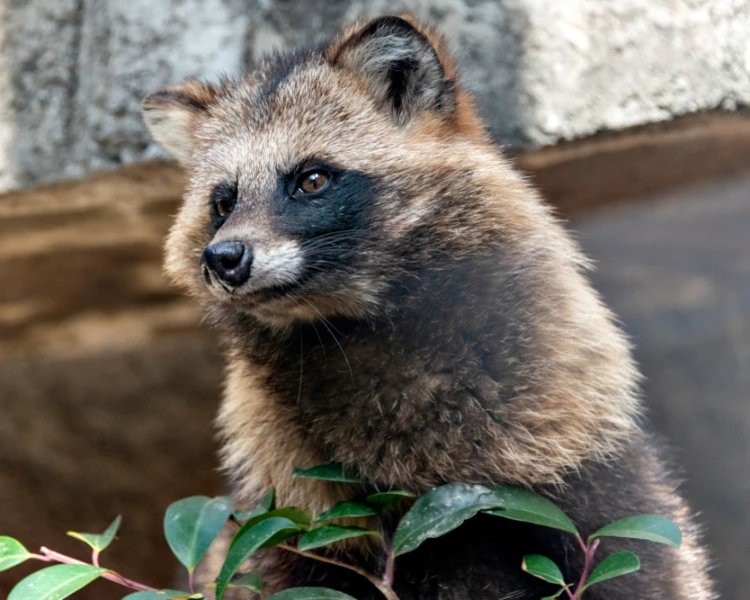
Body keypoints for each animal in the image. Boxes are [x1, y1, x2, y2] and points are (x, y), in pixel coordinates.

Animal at [142, 14, 715, 600]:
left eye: (312, 179)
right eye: (223, 202)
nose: (223, 258)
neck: (345, 331)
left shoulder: (591, 466)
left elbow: (647, 566)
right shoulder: (284, 520)